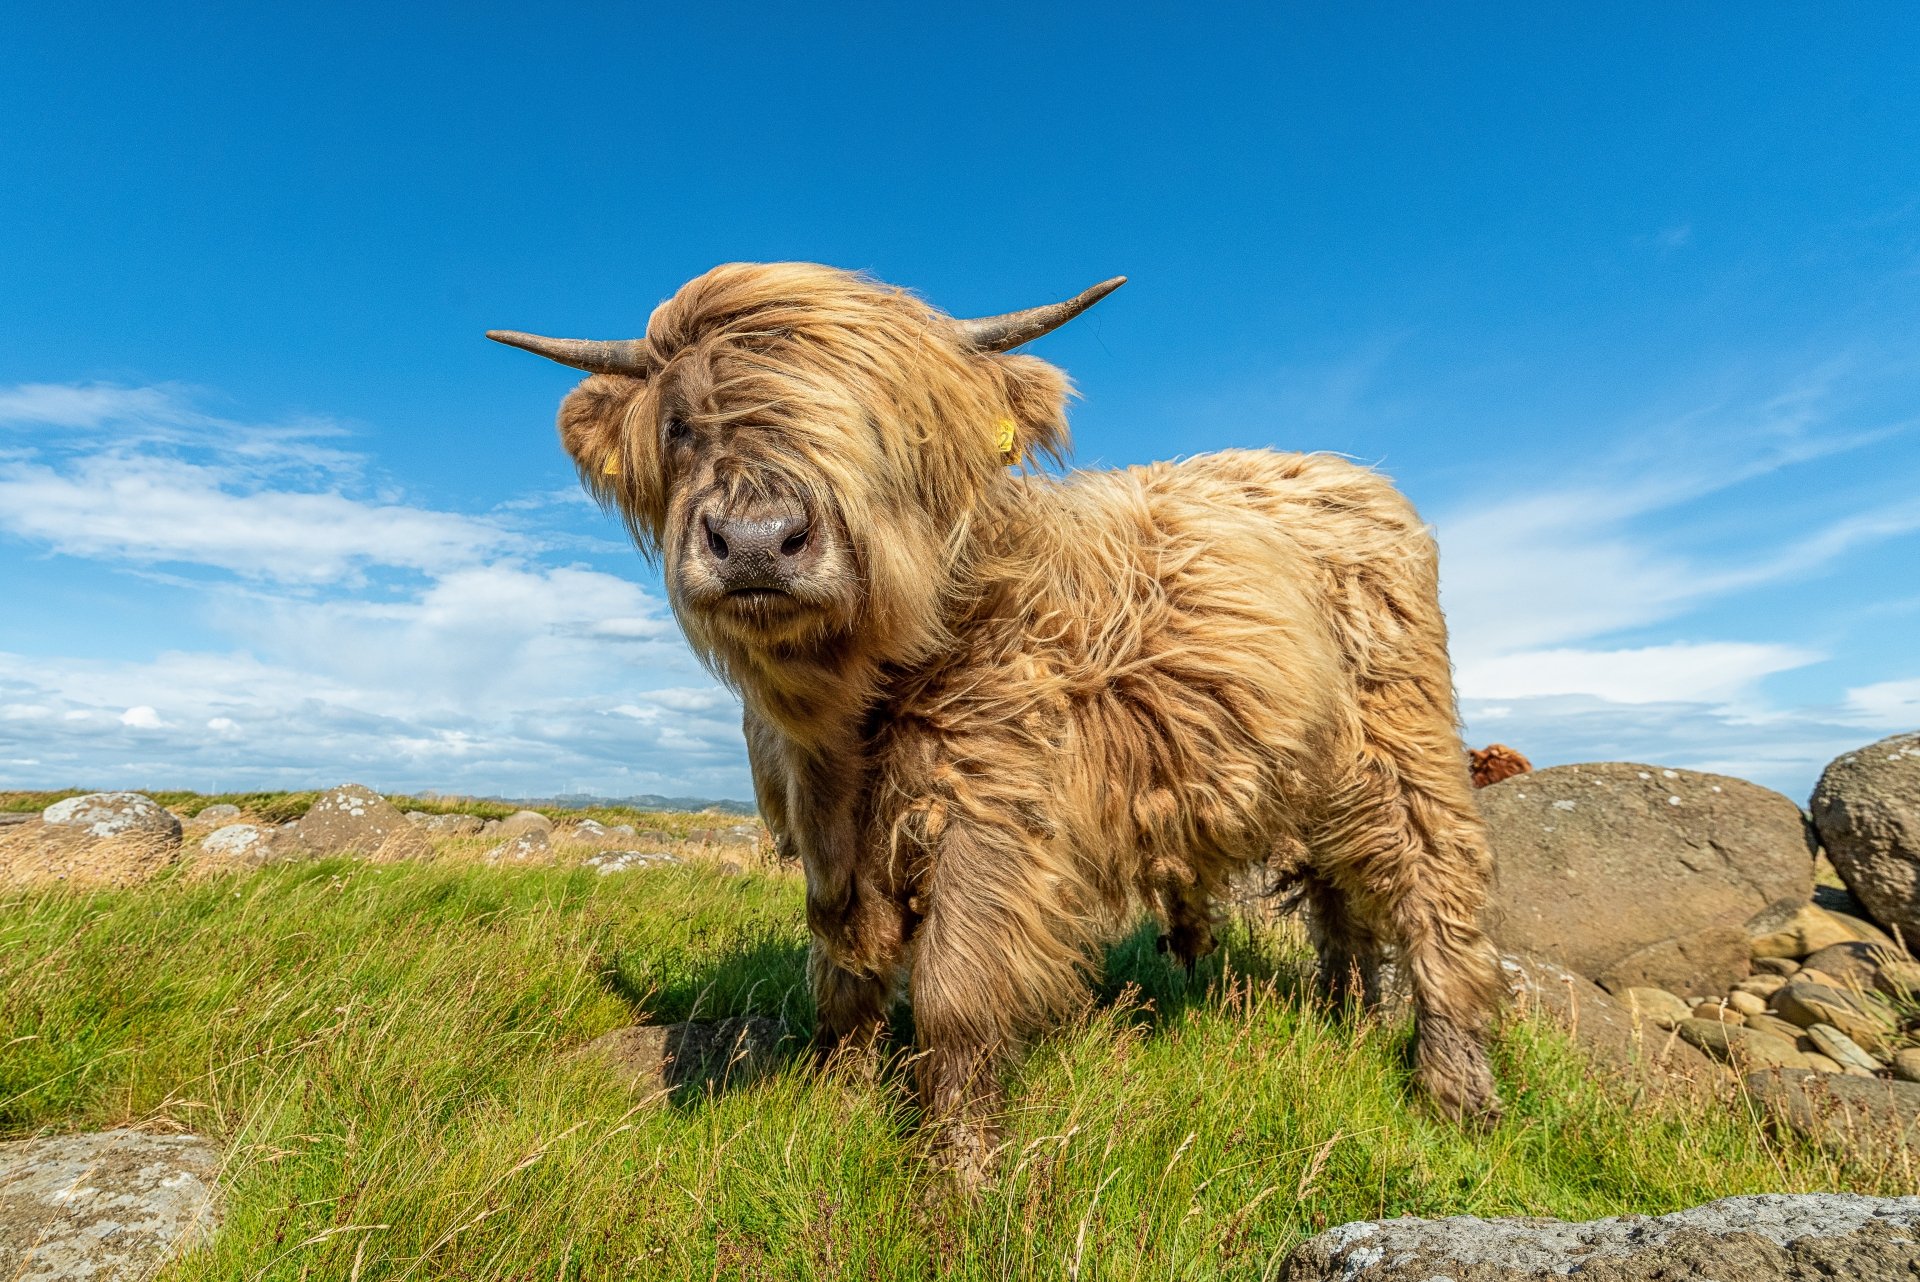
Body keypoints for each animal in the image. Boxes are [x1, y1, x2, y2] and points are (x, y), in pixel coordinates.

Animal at [491, 262, 1504, 1177]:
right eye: (678, 426)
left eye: (884, 427)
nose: (755, 543)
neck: (853, 708)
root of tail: (1339, 469)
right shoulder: (823, 835)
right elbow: (841, 973)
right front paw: (834, 1105)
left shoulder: (997, 808)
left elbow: (956, 993)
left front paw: (962, 1177)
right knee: (1340, 901)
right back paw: (1345, 1021)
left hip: (1402, 738)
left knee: (1432, 885)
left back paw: (1455, 1093)